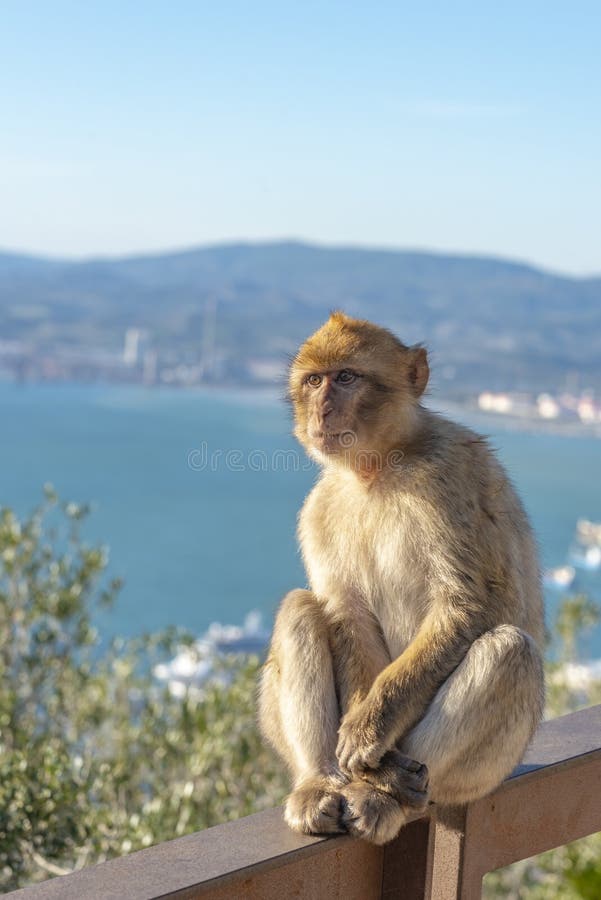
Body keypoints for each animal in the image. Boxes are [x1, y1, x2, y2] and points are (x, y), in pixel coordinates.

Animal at [259, 311, 544, 845]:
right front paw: (364, 738)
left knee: (509, 650)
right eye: (314, 381)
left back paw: (383, 791)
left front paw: (371, 729)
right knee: (301, 608)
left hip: (484, 773)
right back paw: (321, 782)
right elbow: (346, 614)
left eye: (346, 377)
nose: (321, 411)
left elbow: (467, 606)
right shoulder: (318, 510)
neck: (377, 469)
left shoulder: (453, 475)